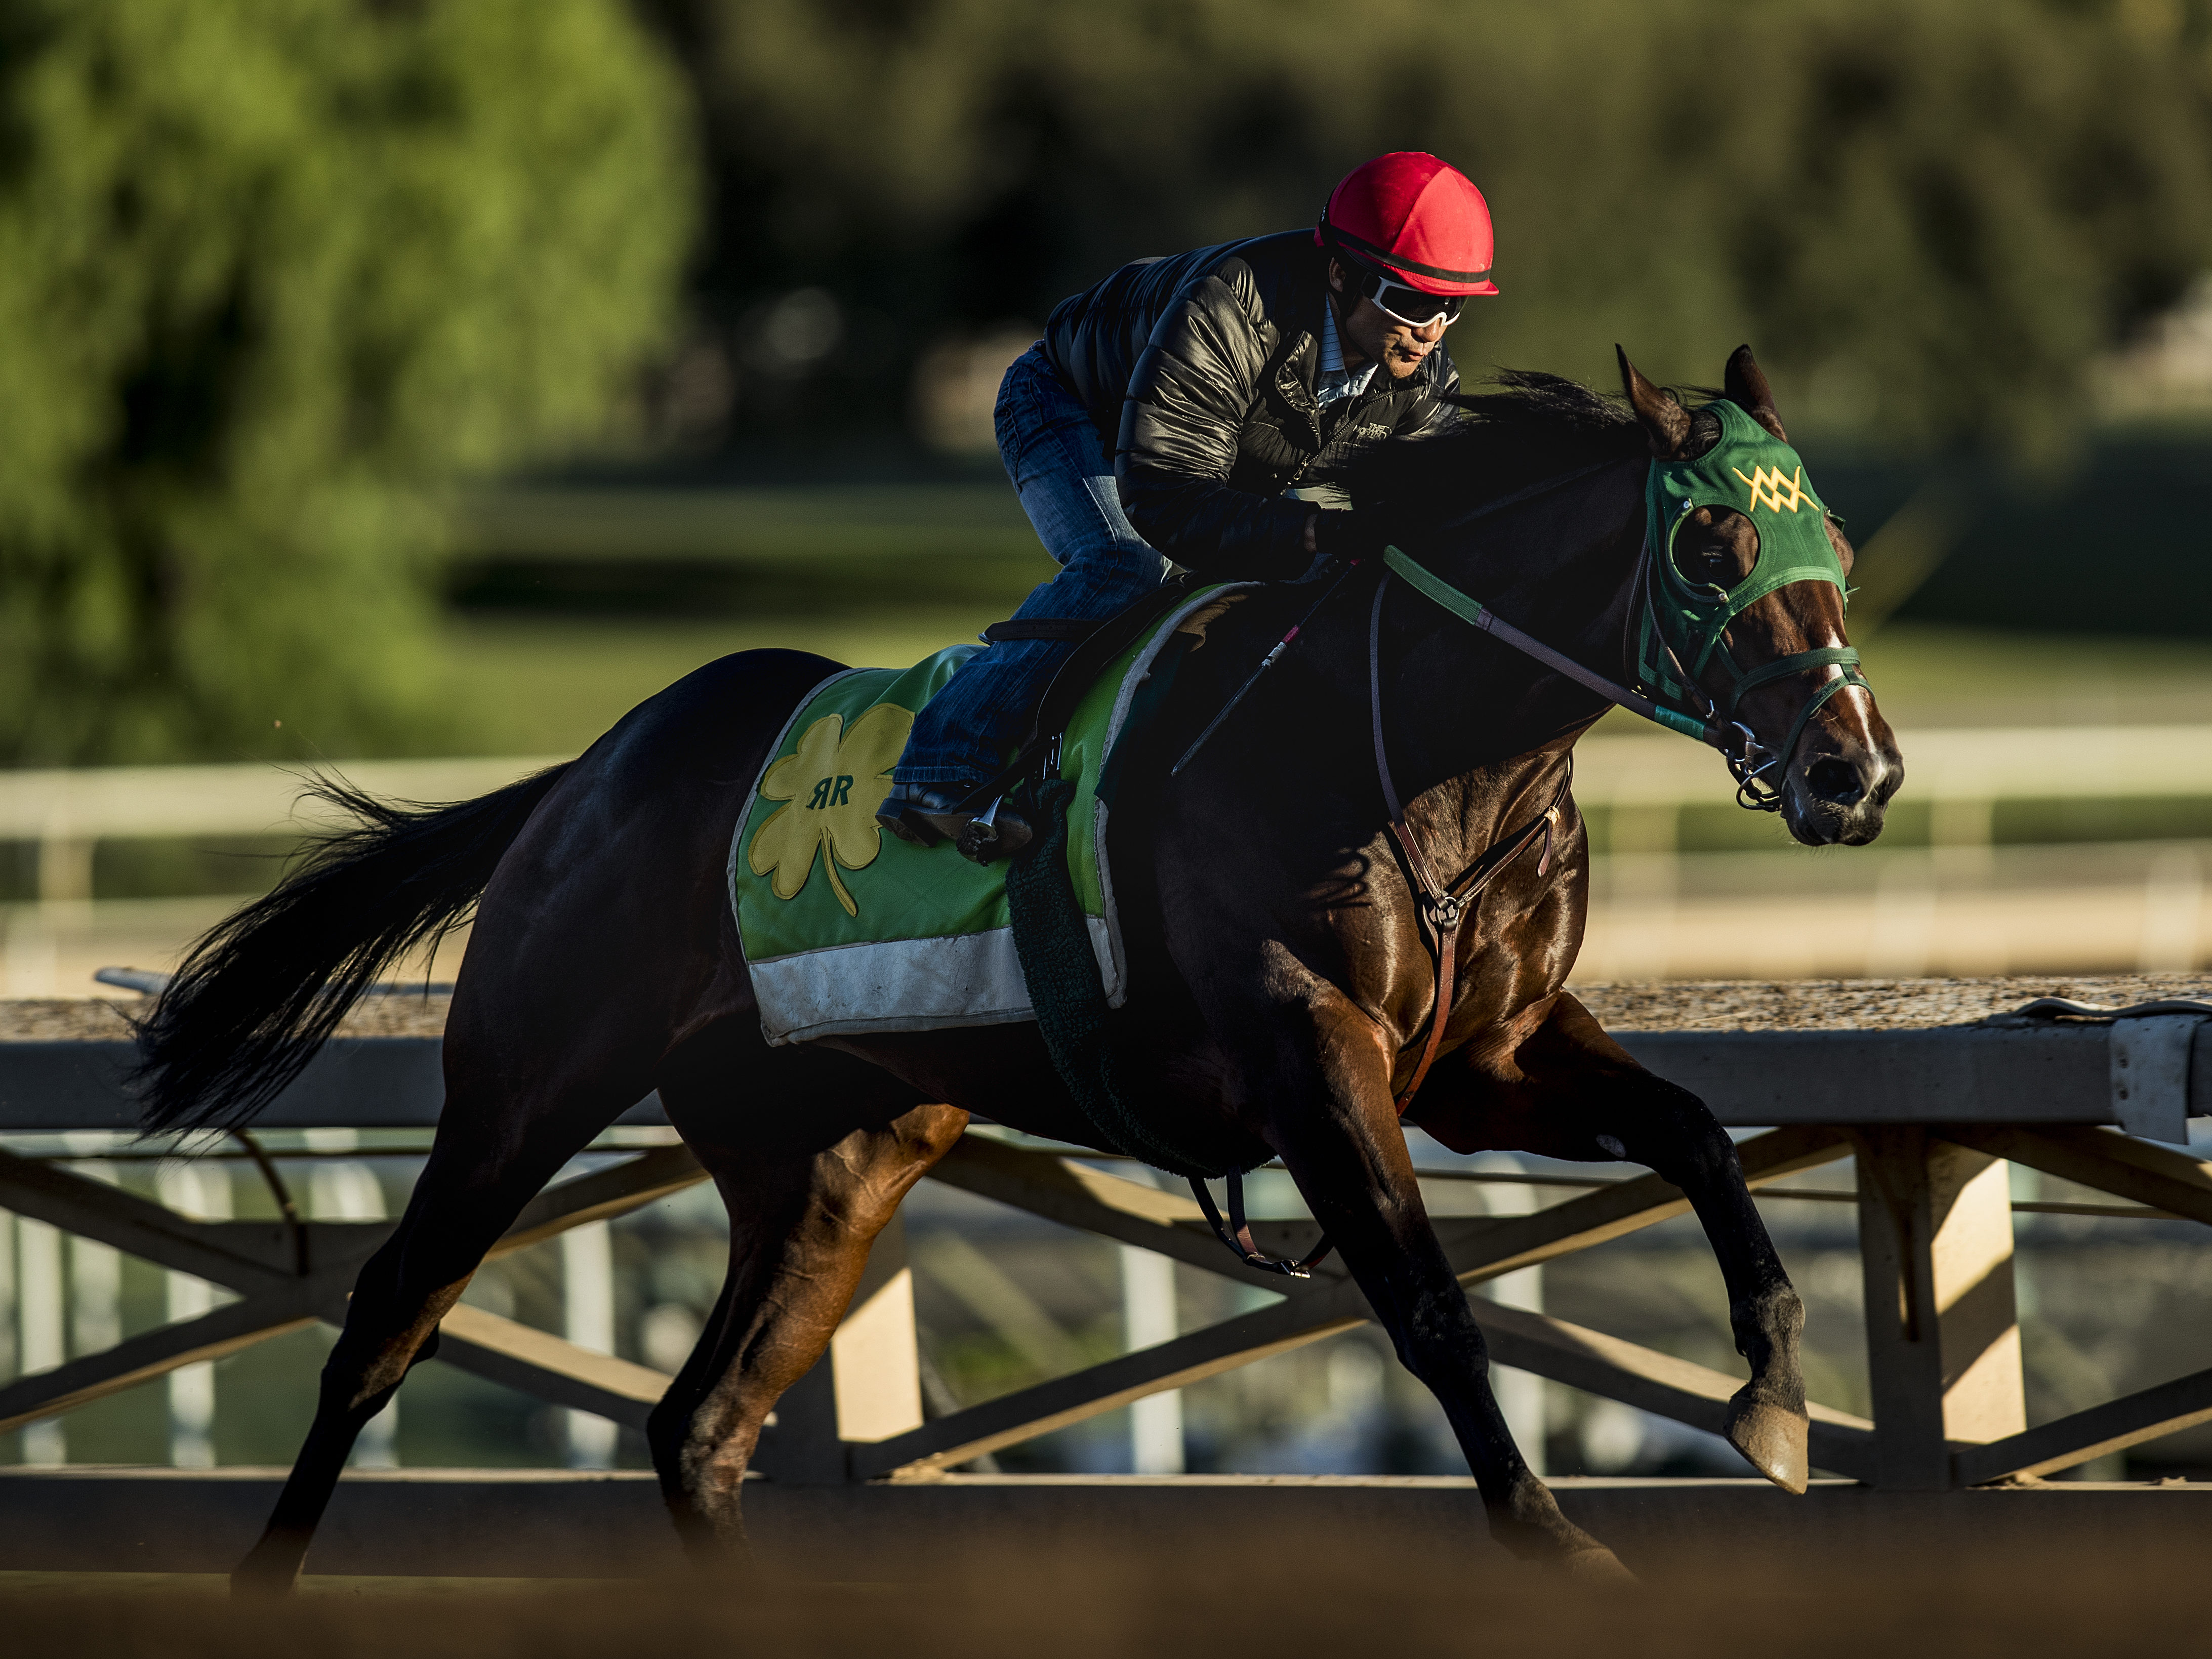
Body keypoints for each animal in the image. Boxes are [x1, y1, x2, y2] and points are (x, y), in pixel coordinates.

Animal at [137, 345, 1901, 1590]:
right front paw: (1558, 1534)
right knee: (388, 1320)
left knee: (698, 1423)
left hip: (835, 1155)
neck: (1414, 746)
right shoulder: (1311, 1049)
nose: (1857, 768)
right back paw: (265, 1582)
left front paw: (1769, 1398)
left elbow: (1695, 1137)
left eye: (1832, 534)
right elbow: (1428, 1303)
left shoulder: (1488, 1058)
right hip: (528, 1075)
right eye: (1713, 540)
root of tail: (590, 767)